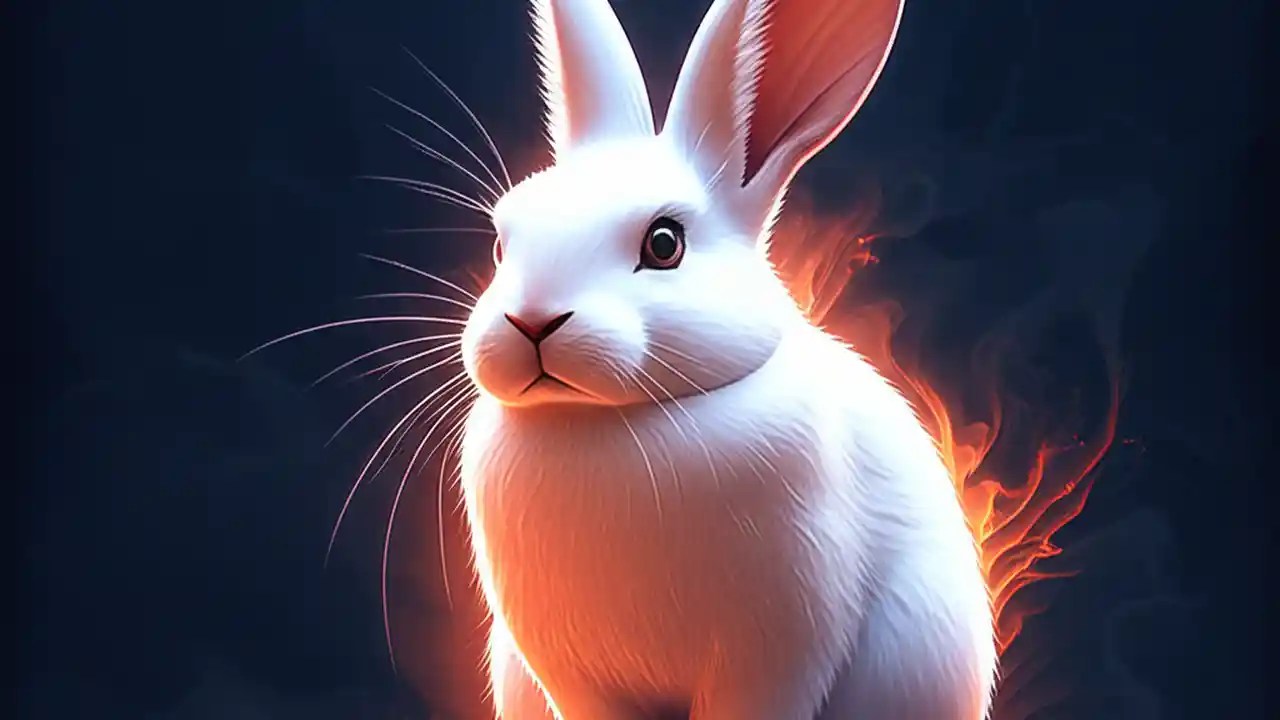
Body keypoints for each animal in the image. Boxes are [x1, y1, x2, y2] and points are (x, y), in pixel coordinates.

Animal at [456, 0, 997, 718]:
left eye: (664, 244)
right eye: (500, 244)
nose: (532, 320)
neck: (608, 420)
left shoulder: (778, 643)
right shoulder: (569, 672)